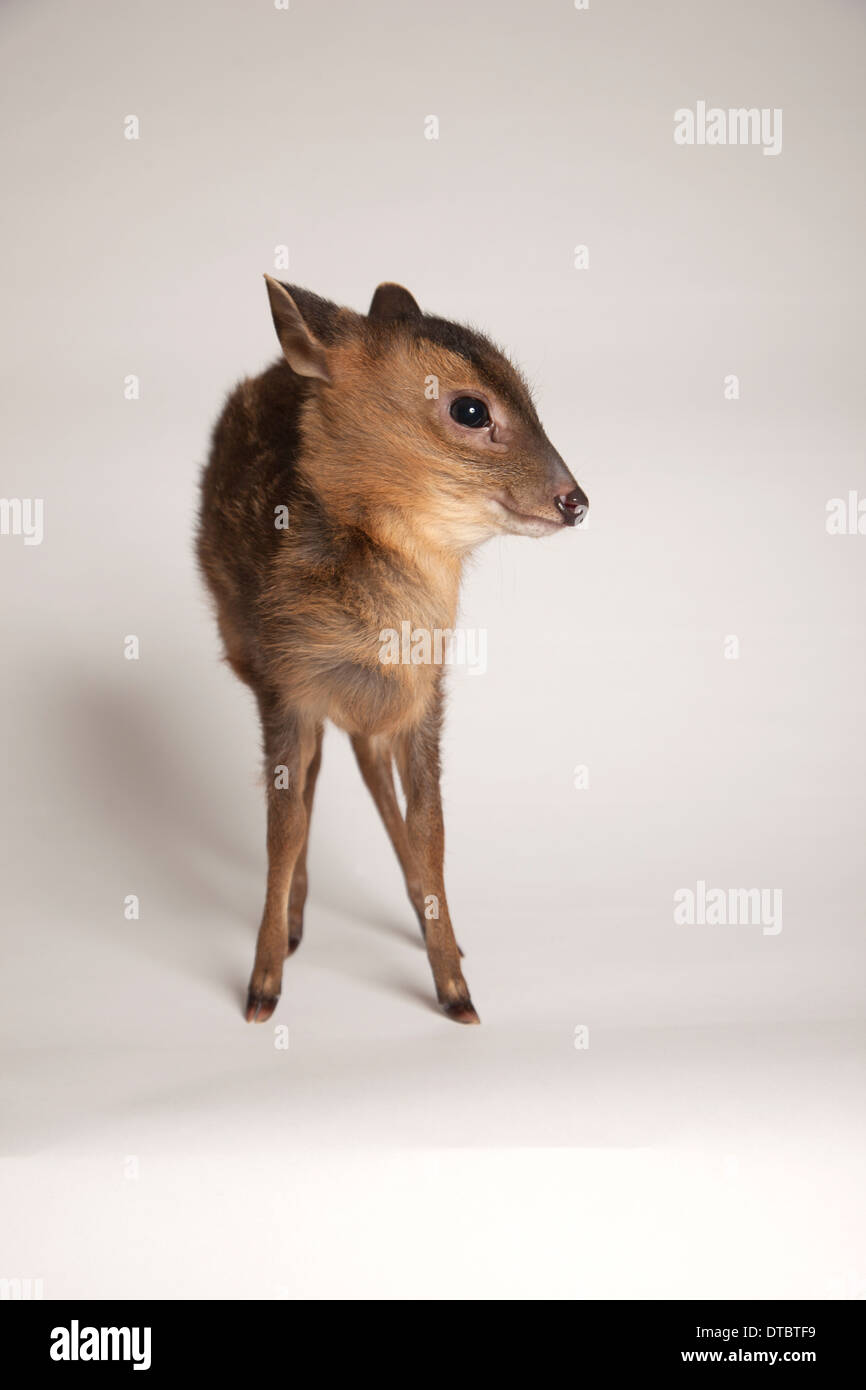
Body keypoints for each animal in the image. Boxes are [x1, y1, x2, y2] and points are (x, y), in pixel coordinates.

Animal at [197, 277, 588, 1026]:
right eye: (471, 408)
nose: (575, 500)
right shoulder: (284, 684)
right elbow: (283, 828)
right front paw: (263, 986)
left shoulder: (425, 691)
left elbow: (431, 826)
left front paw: (455, 986)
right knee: (318, 778)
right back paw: (296, 922)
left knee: (366, 770)